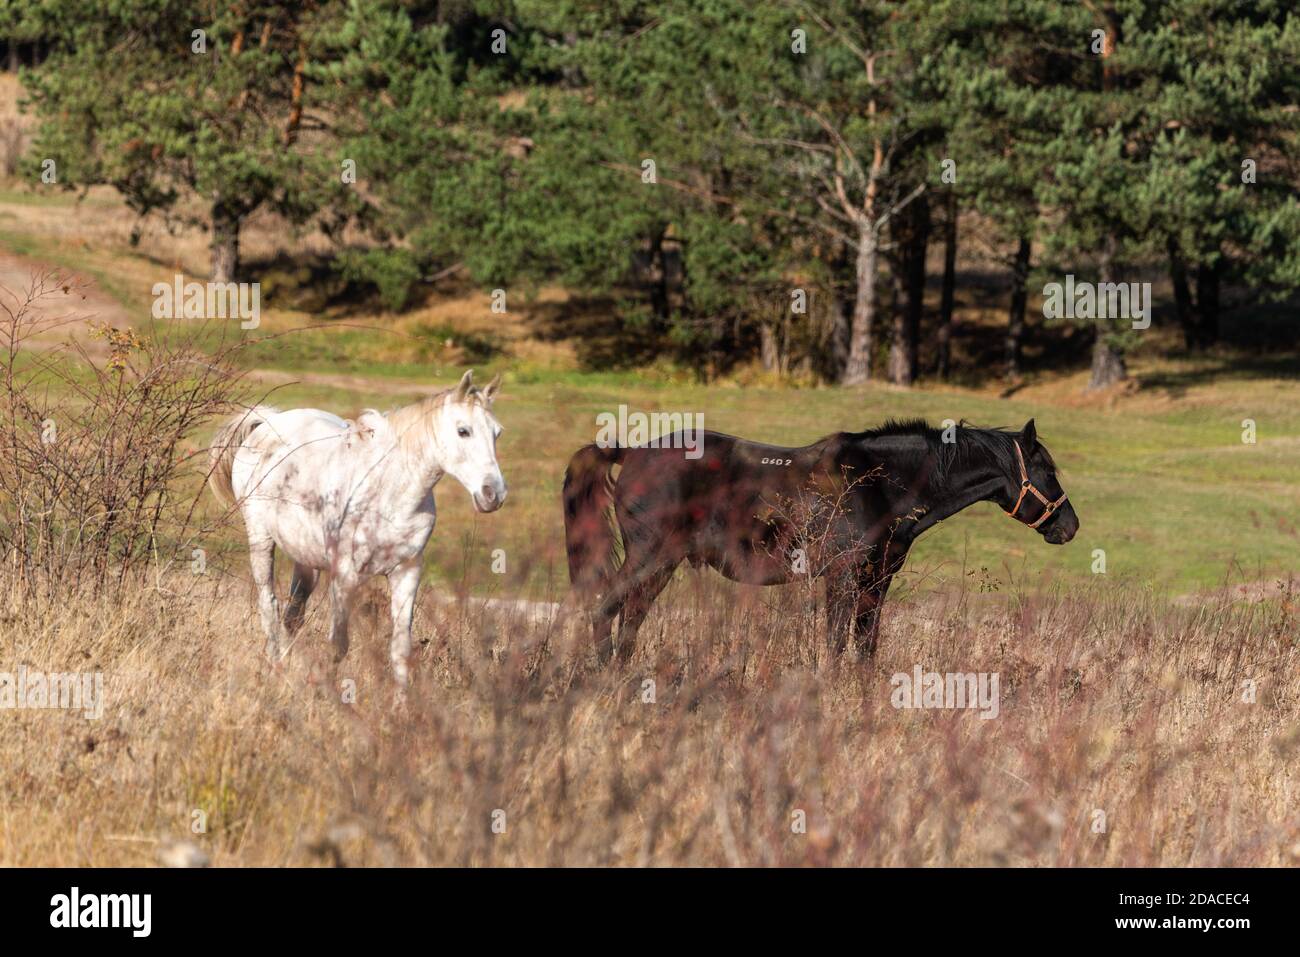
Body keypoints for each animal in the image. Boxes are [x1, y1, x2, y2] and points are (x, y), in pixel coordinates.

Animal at [208, 370, 506, 684]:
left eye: (497, 432)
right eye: (463, 431)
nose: (493, 494)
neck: (387, 491)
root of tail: (266, 424)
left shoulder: (407, 572)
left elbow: (401, 651)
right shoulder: (345, 575)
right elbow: (338, 646)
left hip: (306, 560)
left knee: (292, 616)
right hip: (261, 540)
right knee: (270, 607)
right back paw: (275, 671)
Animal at [563, 418, 1077, 664]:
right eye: (1047, 470)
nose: (1069, 526)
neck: (879, 481)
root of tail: (630, 451)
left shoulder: (876, 581)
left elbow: (865, 646)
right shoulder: (843, 577)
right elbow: (835, 643)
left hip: (661, 564)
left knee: (630, 617)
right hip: (649, 557)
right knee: (605, 609)